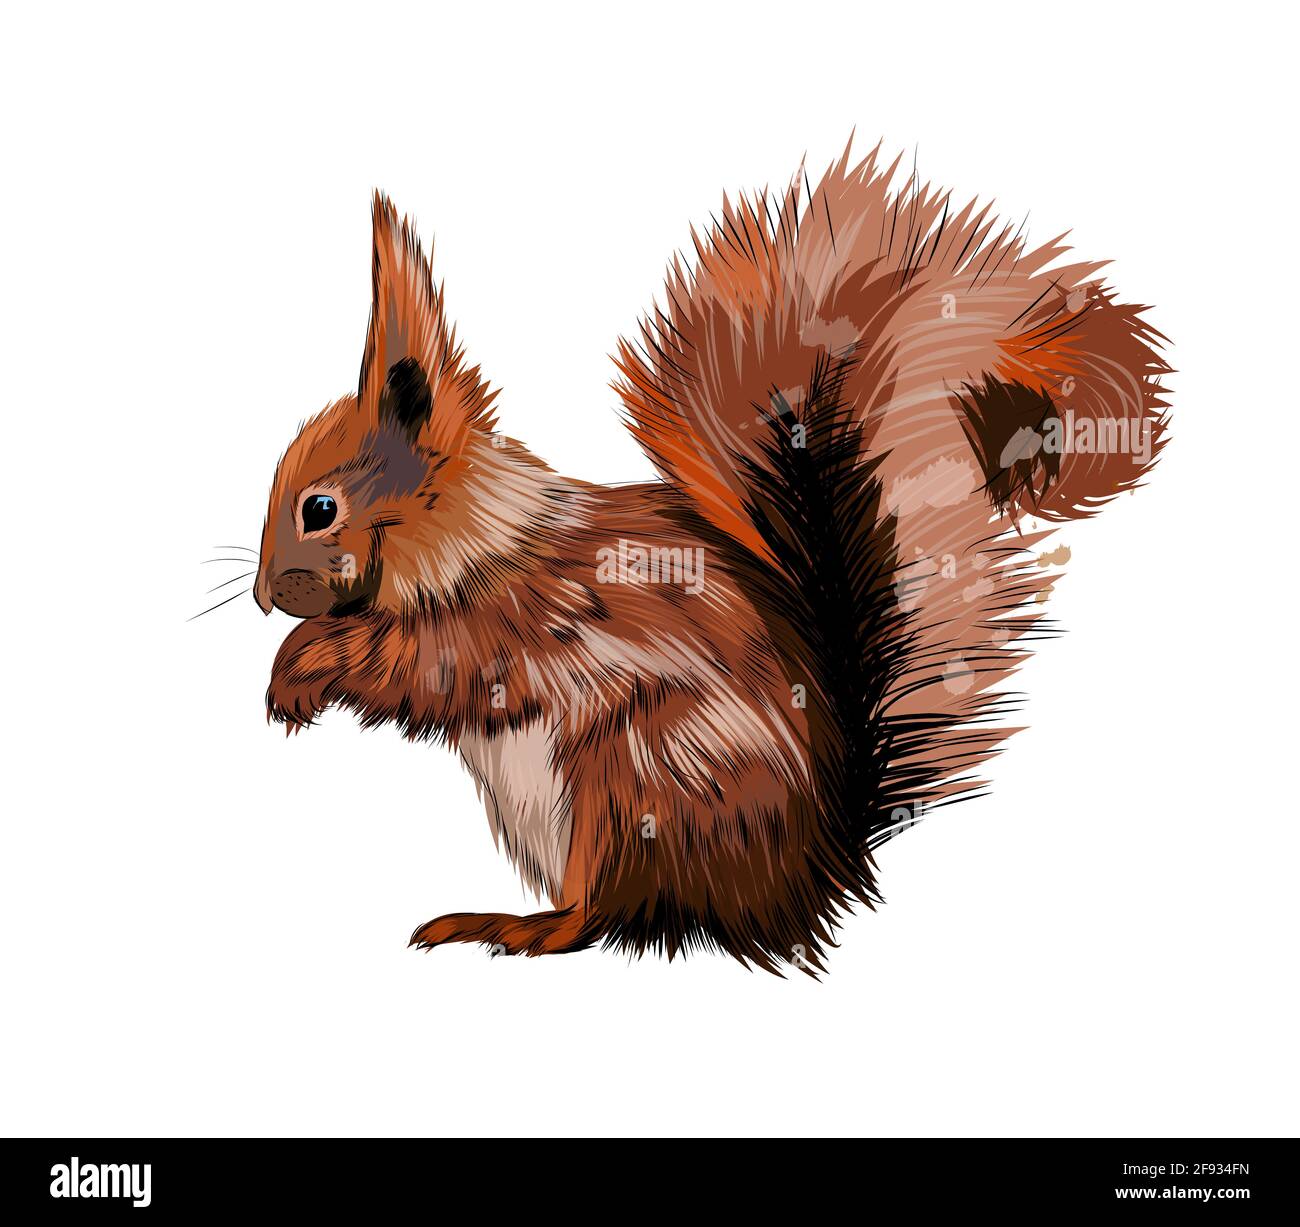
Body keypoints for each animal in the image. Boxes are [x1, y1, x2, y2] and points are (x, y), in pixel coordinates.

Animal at [256, 142, 1169, 974]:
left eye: (319, 508)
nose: (265, 595)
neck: (470, 534)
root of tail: (821, 873)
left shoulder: (508, 618)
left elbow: (420, 665)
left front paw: (298, 667)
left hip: (633, 785)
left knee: (606, 912)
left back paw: (517, 926)